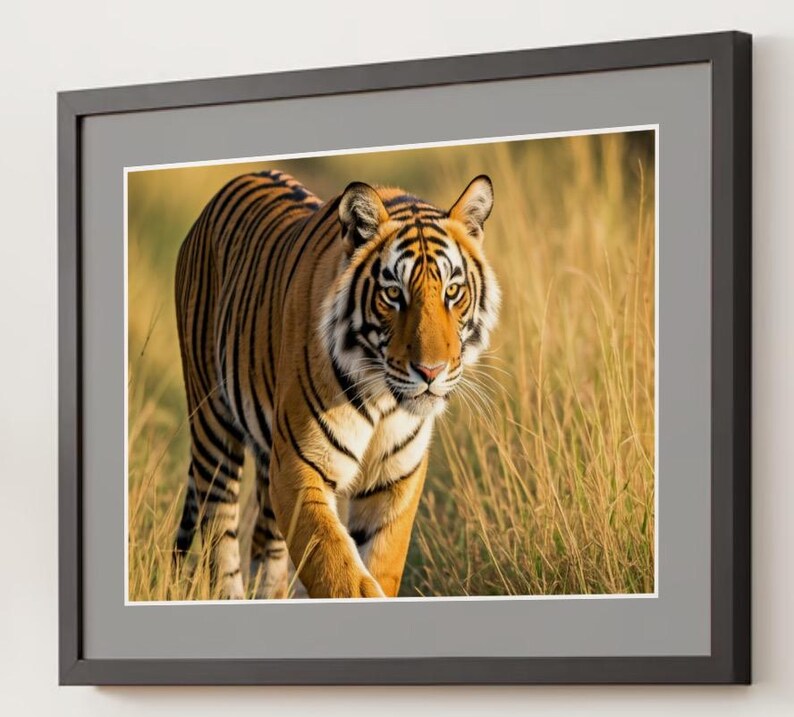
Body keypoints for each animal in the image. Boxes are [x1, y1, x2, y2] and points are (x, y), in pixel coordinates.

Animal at [174, 168, 500, 599]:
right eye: (393, 293)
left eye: (453, 292)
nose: (431, 371)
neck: (385, 401)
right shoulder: (298, 471)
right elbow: (338, 569)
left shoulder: (395, 482)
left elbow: (378, 565)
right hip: (212, 427)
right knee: (220, 541)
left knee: (266, 549)